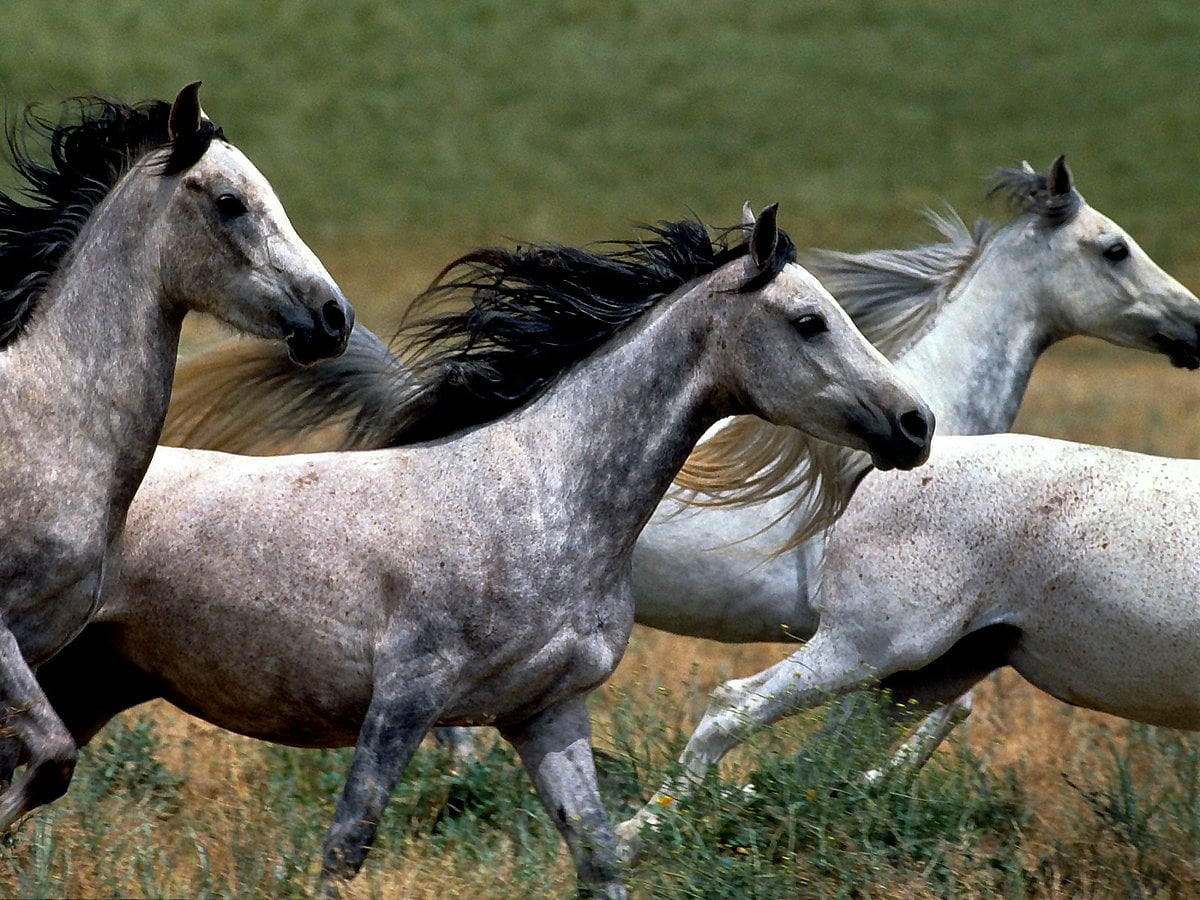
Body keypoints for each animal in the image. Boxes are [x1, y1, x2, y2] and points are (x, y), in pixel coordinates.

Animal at [9, 208, 933, 897]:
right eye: (810, 321)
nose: (916, 424)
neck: (538, 497)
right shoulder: (406, 699)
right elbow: (346, 846)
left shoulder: (547, 713)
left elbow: (599, 856)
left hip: (90, 684)